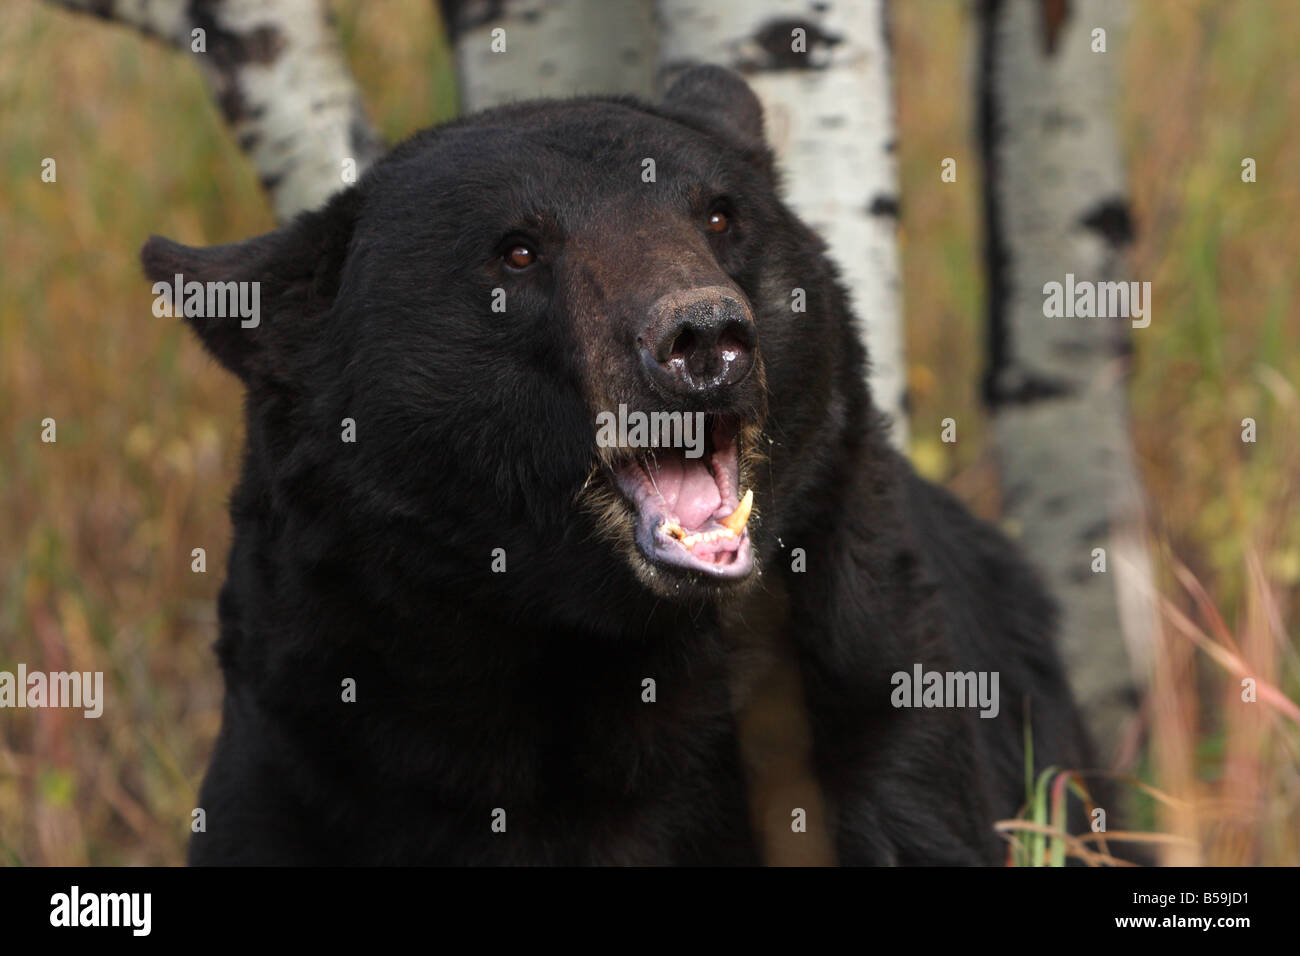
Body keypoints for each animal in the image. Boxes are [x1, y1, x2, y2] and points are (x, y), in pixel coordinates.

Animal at [143, 66, 1101, 865]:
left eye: (718, 214)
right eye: (517, 249)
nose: (704, 338)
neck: (599, 654)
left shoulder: (873, 732)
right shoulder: (312, 756)